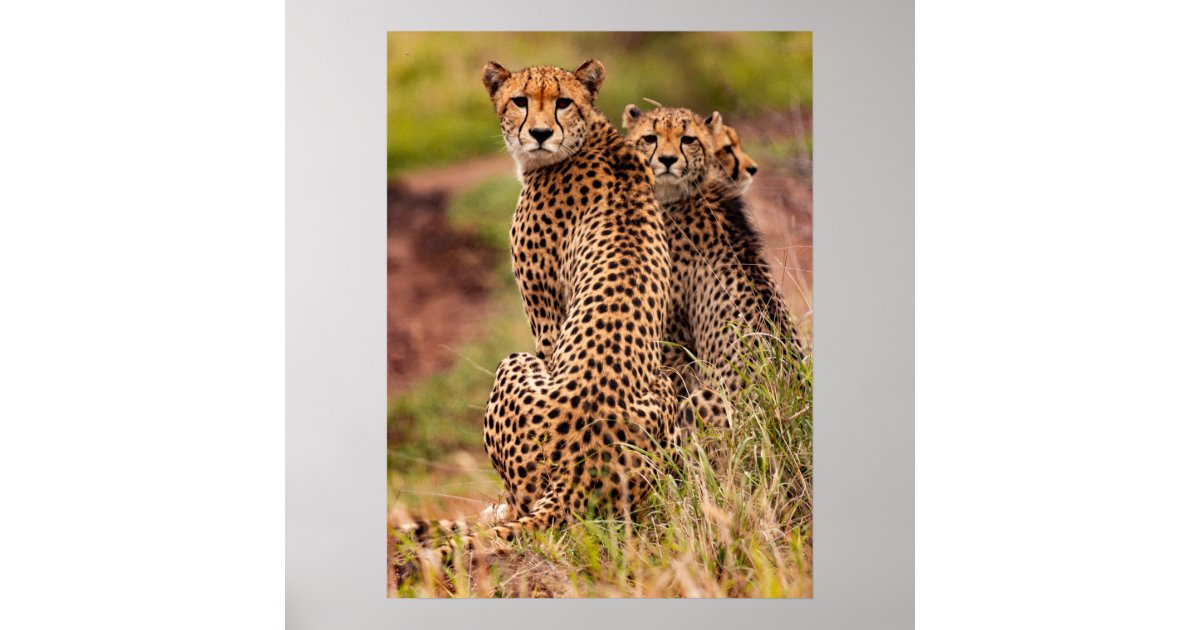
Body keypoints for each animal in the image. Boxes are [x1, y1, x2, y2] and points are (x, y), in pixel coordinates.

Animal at [394, 60, 679, 581]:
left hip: (513, 364)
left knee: (521, 503)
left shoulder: (544, 319)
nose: (541, 133)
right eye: (520, 100)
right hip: (663, 388)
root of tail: (584, 465)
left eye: (562, 102)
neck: (591, 138)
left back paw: (498, 514)